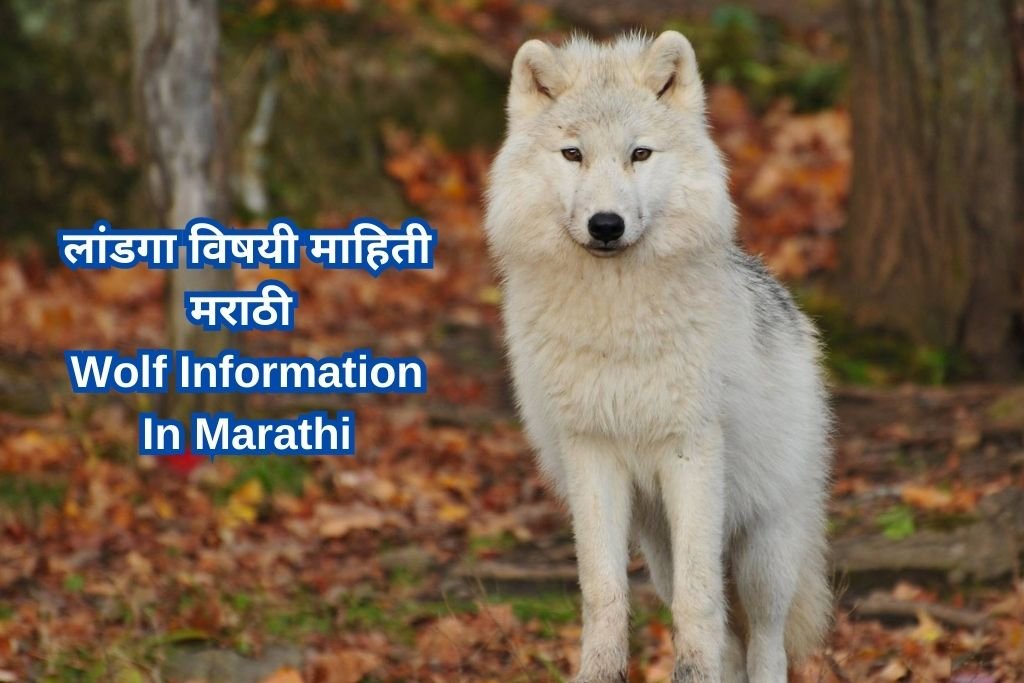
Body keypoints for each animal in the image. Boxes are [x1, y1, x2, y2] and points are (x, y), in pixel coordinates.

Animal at [483, 31, 832, 683]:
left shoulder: (689, 450)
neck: (617, 322)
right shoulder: (591, 452)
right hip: (658, 544)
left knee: (764, 639)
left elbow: (699, 605)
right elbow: (602, 590)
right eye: (573, 154)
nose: (606, 224)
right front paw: (599, 673)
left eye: (639, 154)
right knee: (729, 641)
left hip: (762, 549)